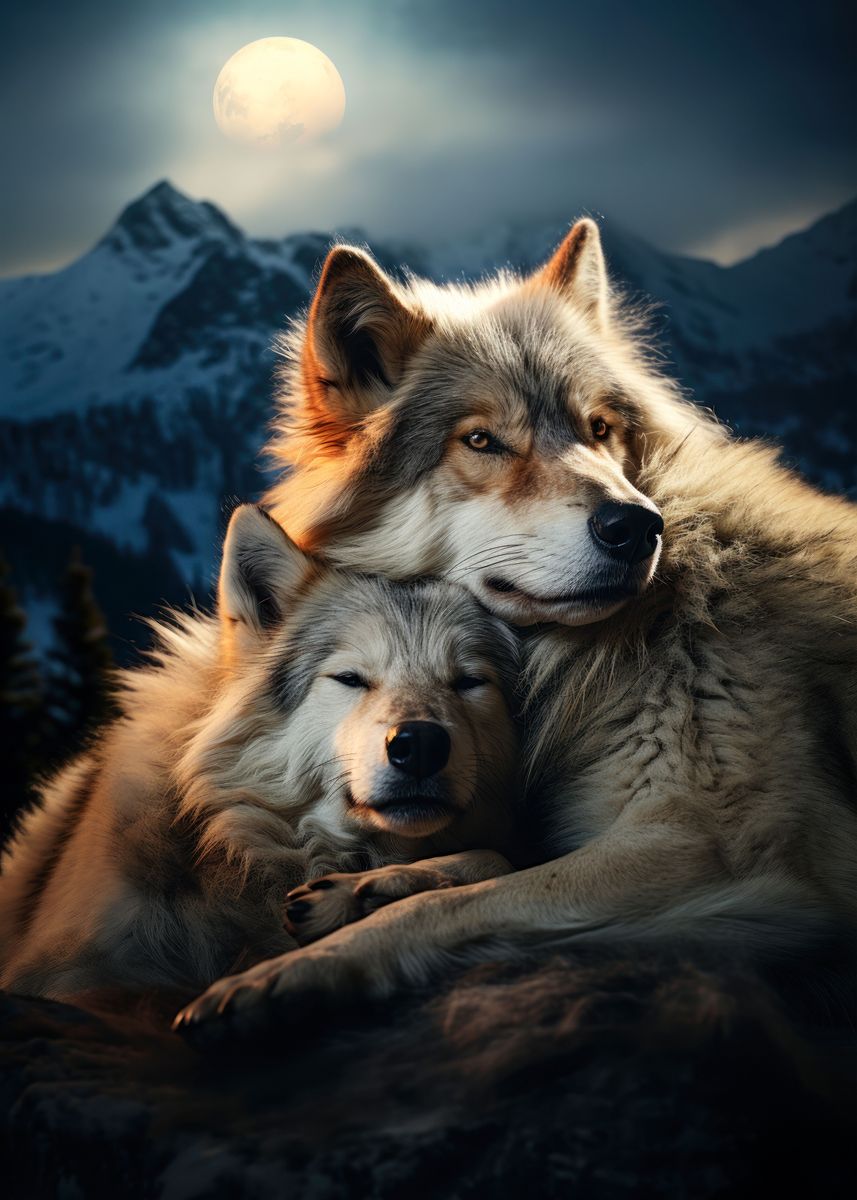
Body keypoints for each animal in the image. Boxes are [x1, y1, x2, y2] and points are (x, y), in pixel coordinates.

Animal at [0, 505, 518, 1000]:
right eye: (350, 678)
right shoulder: (78, 969)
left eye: (469, 682)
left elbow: (498, 859)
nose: (420, 744)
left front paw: (371, 893)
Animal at [174, 217, 857, 1035]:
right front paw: (369, 889)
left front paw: (288, 972)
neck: (651, 631)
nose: (637, 527)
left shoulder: (718, 854)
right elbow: (495, 868)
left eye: (599, 428)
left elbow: (460, 905)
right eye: (481, 441)